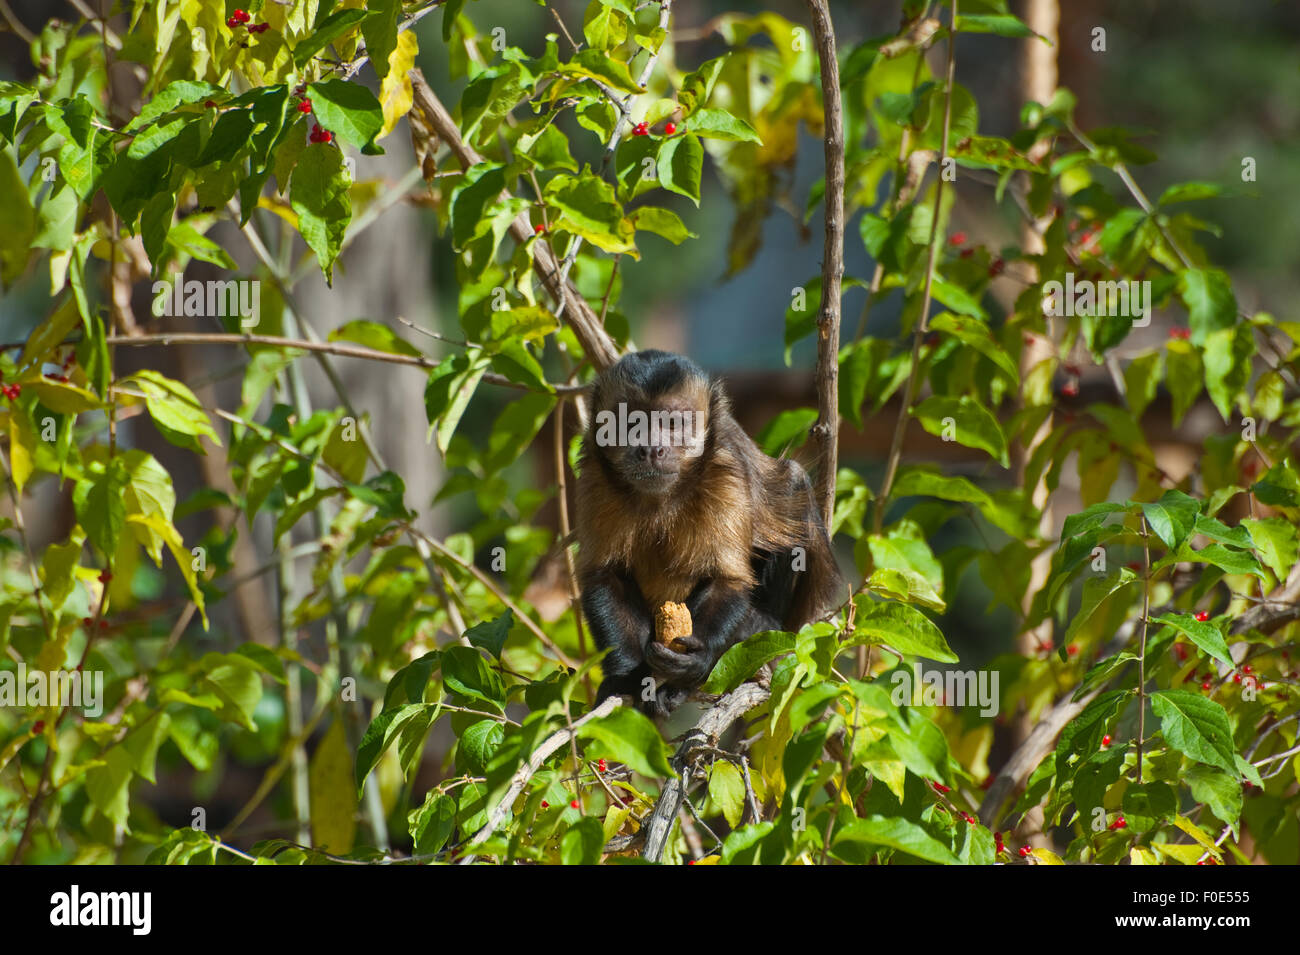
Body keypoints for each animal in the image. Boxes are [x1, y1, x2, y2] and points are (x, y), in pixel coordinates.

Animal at [574, 350, 843, 717]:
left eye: (674, 424)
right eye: (631, 424)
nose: (651, 449)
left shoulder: (724, 472)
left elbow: (726, 579)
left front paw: (697, 661)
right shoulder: (595, 480)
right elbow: (605, 577)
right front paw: (627, 679)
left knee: (791, 483)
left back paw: (757, 624)